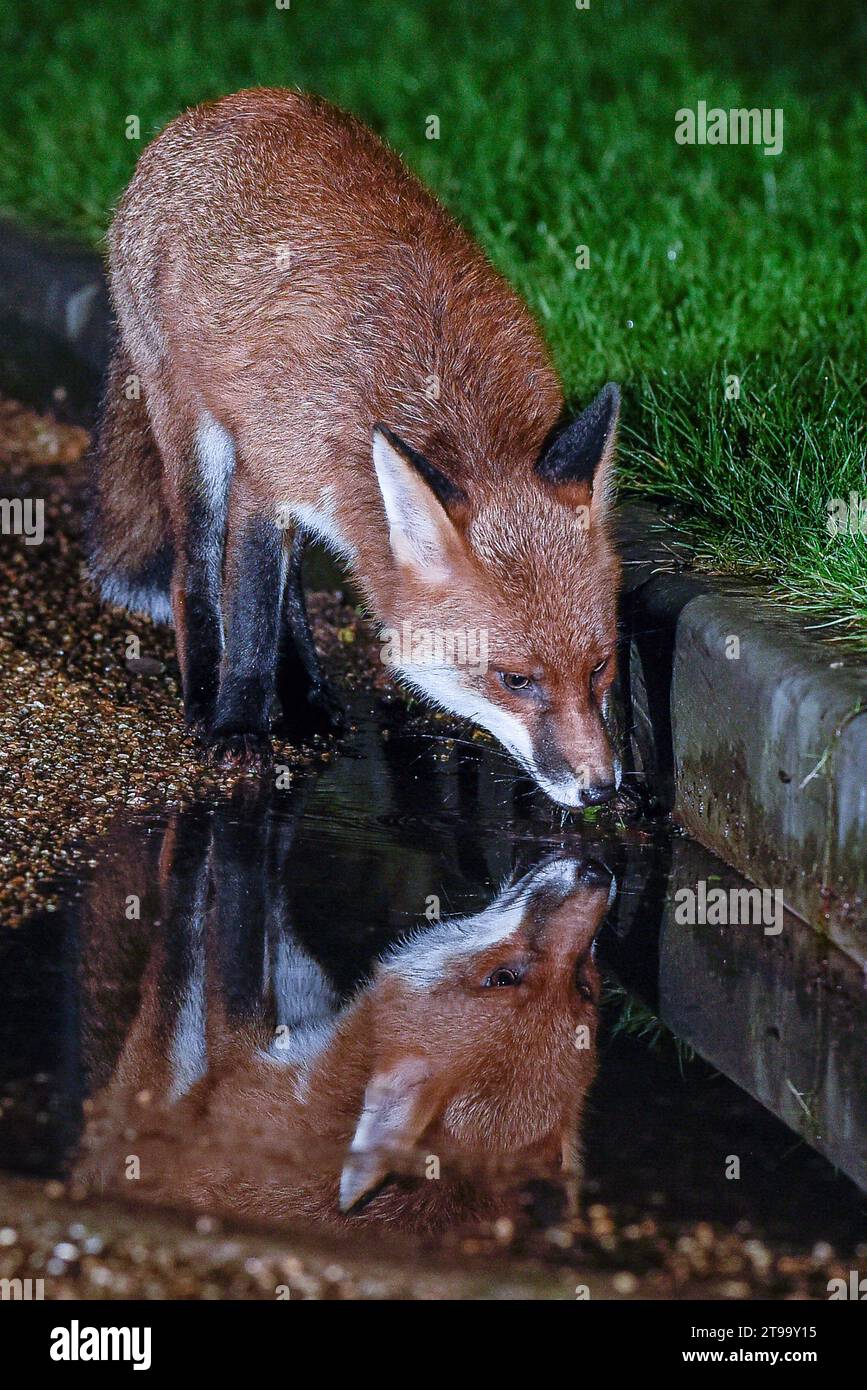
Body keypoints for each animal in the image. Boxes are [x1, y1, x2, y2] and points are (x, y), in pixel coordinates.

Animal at [88, 87, 623, 808]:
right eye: (515, 679)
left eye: (599, 666)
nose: (601, 791)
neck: (449, 410)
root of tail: (221, 104)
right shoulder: (267, 482)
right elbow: (250, 617)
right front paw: (239, 727)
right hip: (195, 438)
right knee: (193, 573)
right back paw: (206, 698)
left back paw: (309, 699)